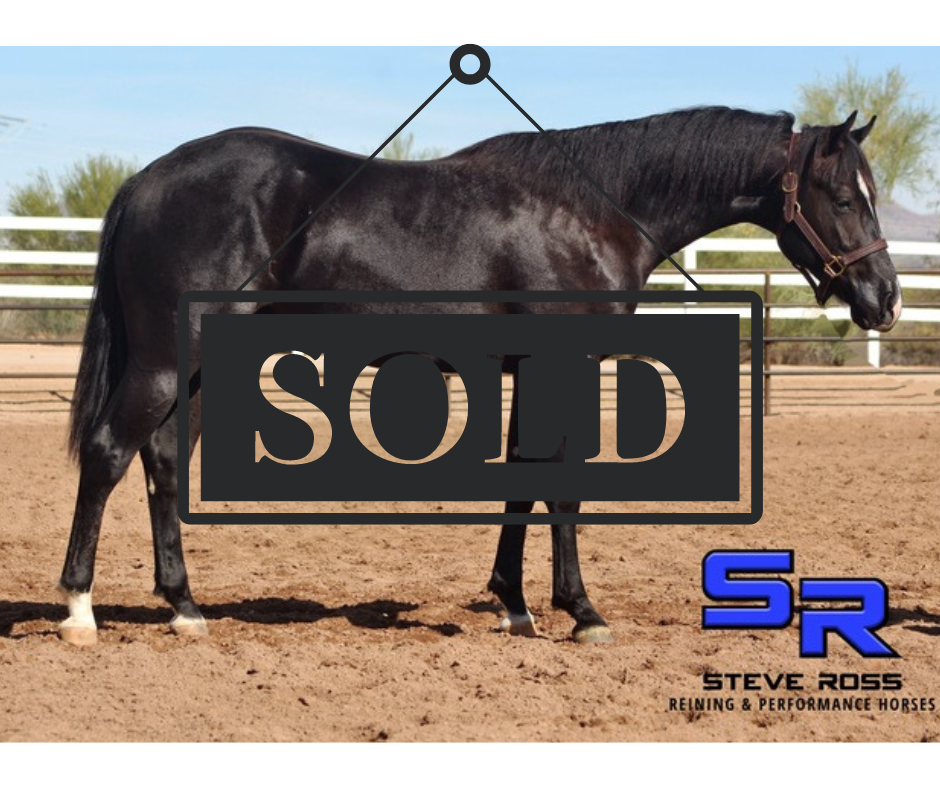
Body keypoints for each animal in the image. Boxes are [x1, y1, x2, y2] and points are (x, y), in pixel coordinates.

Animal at [57, 106, 901, 646]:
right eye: (841, 194)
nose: (884, 297)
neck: (592, 210)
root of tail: (145, 181)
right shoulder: (564, 366)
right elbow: (562, 485)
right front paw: (582, 612)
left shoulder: (528, 370)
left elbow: (521, 479)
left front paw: (514, 604)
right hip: (167, 361)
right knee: (107, 453)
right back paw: (79, 609)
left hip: (197, 367)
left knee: (164, 462)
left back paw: (184, 607)